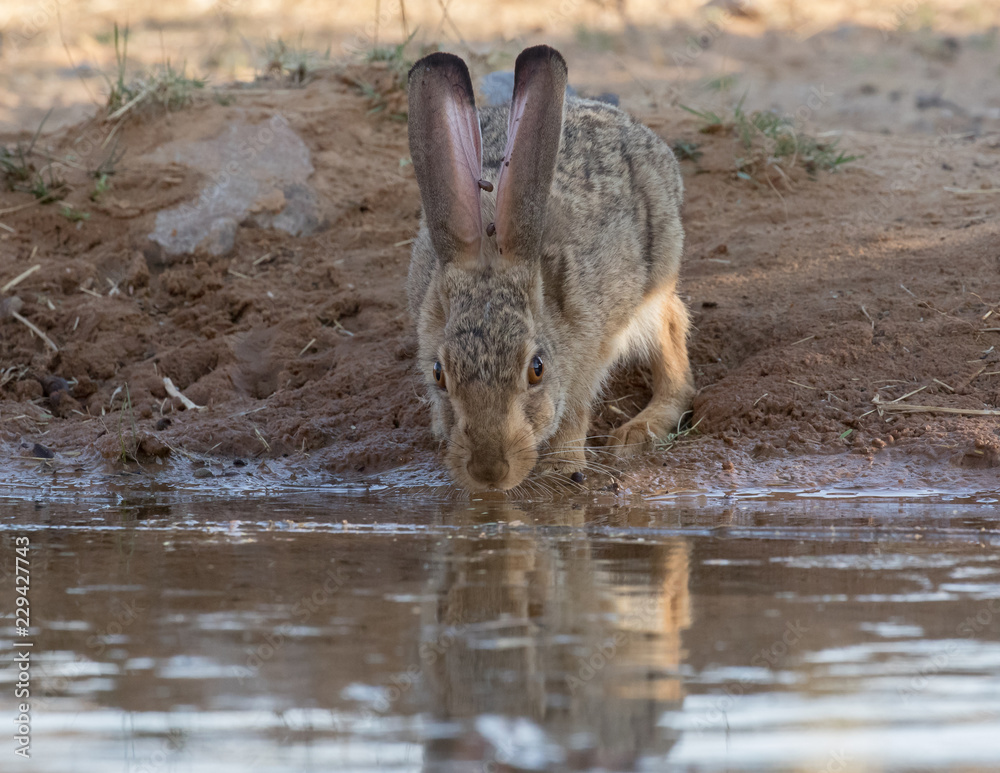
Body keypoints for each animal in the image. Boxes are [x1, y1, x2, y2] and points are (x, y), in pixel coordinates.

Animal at [407, 45, 694, 492]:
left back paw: (636, 433)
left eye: (536, 369)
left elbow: (573, 413)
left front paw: (560, 469)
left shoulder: (587, 356)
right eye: (438, 373)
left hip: (654, 279)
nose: (489, 472)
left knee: (672, 330)